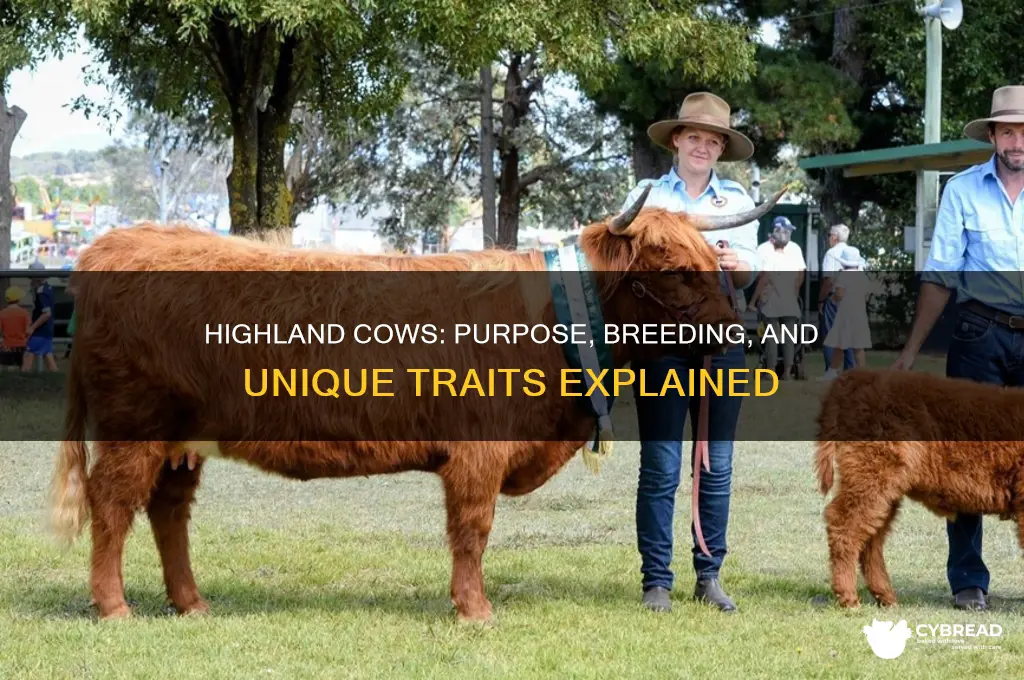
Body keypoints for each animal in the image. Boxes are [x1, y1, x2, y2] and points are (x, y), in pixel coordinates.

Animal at [49, 186, 785, 622]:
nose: (739, 334)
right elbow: (473, 530)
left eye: (713, 260)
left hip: (183, 439)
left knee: (167, 512)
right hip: (136, 427)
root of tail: (119, 240)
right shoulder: (477, 454)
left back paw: (192, 603)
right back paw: (114, 608)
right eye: (673, 268)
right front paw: (475, 611)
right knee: (113, 505)